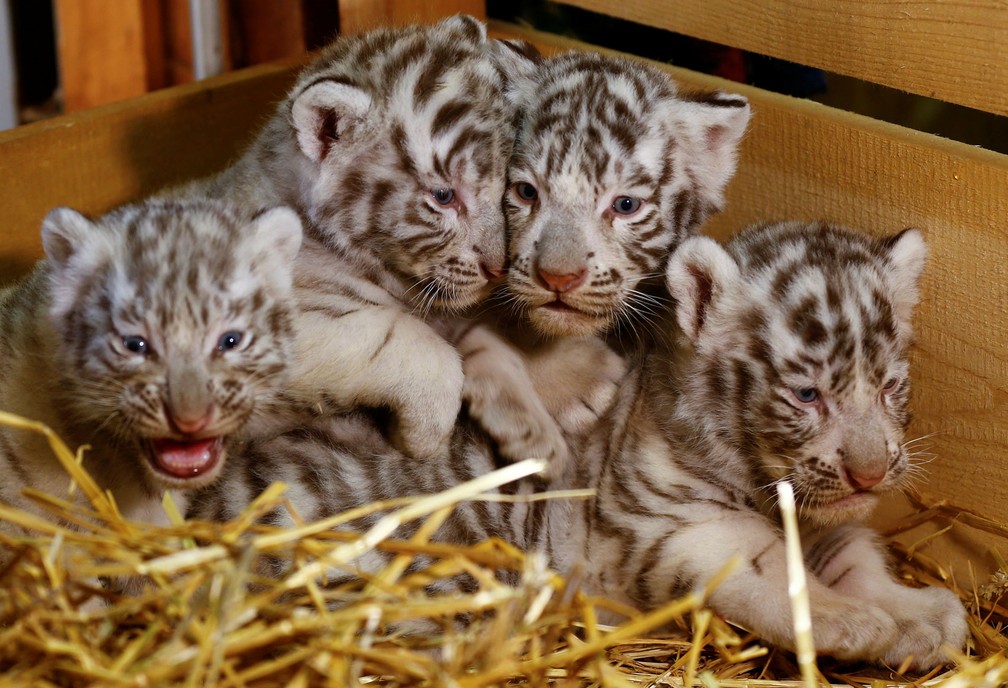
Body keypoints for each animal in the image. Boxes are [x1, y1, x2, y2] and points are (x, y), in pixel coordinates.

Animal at [189, 220, 966, 669]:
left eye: (891, 387)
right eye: (807, 396)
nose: (871, 474)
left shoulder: (831, 521)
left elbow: (857, 553)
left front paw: (923, 615)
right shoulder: (673, 535)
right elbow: (773, 571)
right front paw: (858, 624)